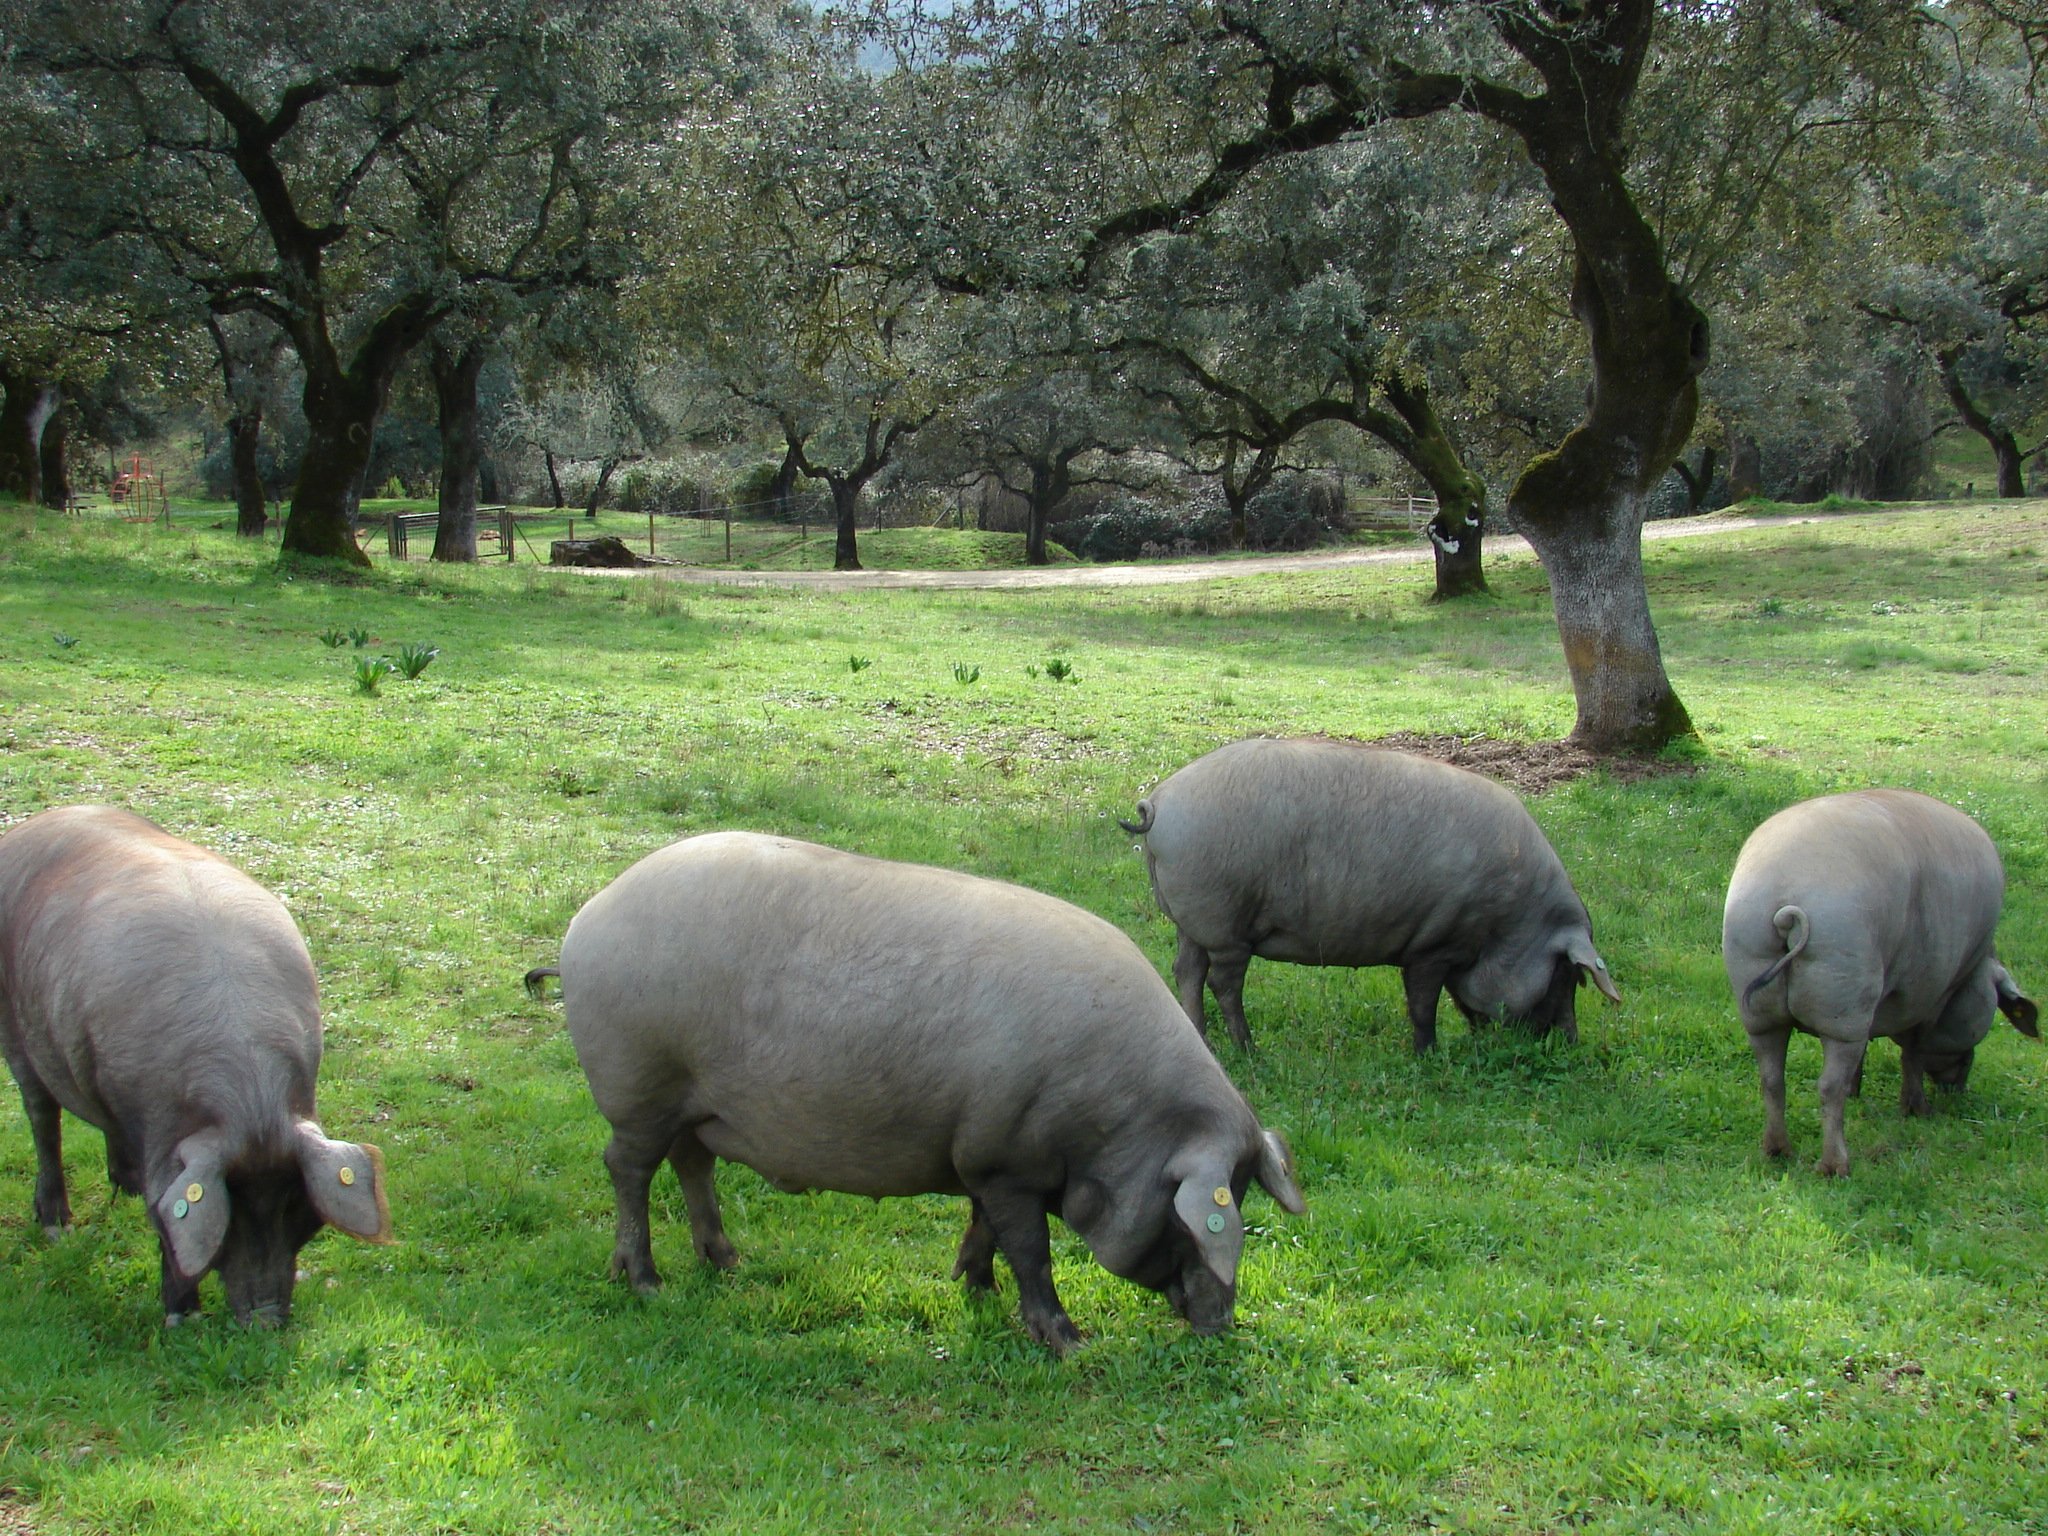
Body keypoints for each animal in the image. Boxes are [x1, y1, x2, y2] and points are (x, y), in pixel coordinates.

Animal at [0, 805, 393, 1325]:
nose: (267, 1318)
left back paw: (123, 1187)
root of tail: (36, 822)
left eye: (296, 1209)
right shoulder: (159, 1132)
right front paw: (180, 1319)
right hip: (12, 1027)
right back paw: (56, 1226)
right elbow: (165, 1215)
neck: (250, 1103)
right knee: (42, 1117)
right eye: (229, 1217)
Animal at [524, 830, 1306, 1355]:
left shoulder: (982, 1155)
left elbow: (983, 1227)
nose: (1221, 1326)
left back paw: (729, 1262)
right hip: (639, 1087)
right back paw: (646, 1283)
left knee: (692, 1165)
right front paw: (1070, 1342)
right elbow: (1032, 1250)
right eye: (1205, 1217)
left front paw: (972, 1286)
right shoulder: (1007, 1163)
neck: (1115, 1121)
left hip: (698, 1106)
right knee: (626, 1169)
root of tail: (586, 918)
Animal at [1120, 737, 1620, 1051]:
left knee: (1186, 971)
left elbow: (1459, 1000)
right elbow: (1423, 1005)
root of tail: (1159, 800)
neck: (1510, 920)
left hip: (1192, 922)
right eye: (1569, 975)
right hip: (1225, 922)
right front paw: (1429, 1055)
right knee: (1222, 984)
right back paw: (1248, 1050)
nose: (1571, 1044)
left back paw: (1204, 1041)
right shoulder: (1434, 944)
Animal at [1723, 788, 2038, 1177]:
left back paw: (1778, 1150)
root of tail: (1786, 908)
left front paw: (1861, 1090)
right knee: (1828, 1086)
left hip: (1761, 1004)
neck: (1973, 970)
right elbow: (1913, 1053)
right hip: (1842, 1005)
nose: (1957, 1089)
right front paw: (1916, 1109)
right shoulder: (1931, 993)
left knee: (1771, 1079)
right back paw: (1835, 1165)